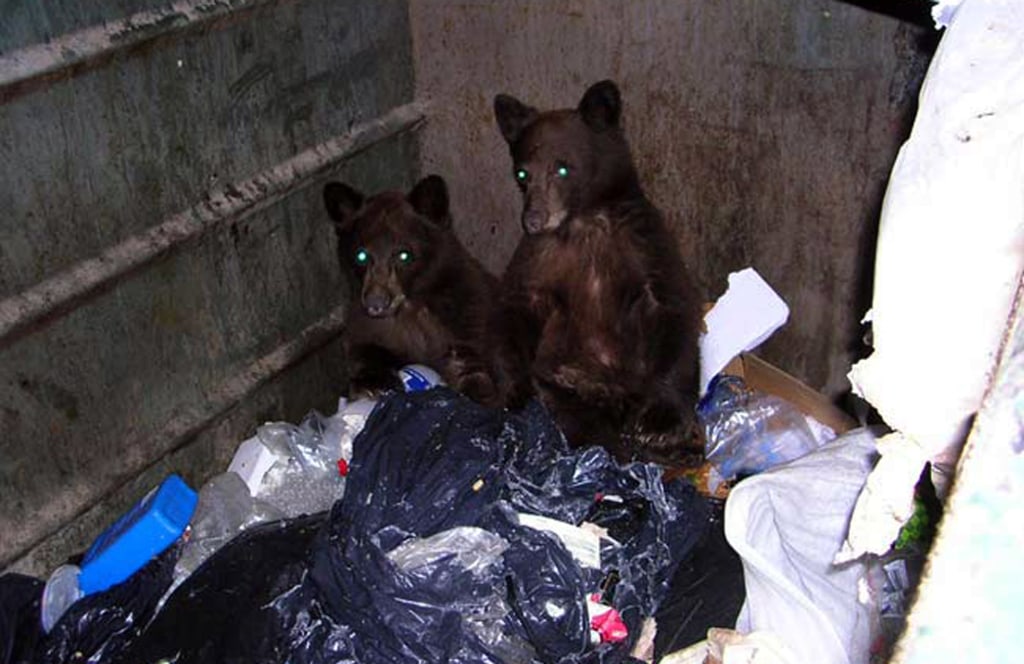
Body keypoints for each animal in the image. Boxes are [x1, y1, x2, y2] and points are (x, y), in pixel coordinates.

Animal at [323, 174, 500, 405]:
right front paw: (373, 384)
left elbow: (470, 367)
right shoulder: (367, 326)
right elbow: (363, 348)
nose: (376, 304)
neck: (409, 309)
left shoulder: (466, 317)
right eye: (361, 255)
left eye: (404, 255)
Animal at [492, 80, 704, 466]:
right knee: (577, 419)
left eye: (562, 168)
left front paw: (659, 422)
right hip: (563, 385)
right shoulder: (538, 257)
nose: (533, 219)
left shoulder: (644, 243)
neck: (584, 221)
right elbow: (513, 306)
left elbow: (672, 307)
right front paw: (515, 389)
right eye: (522, 173)